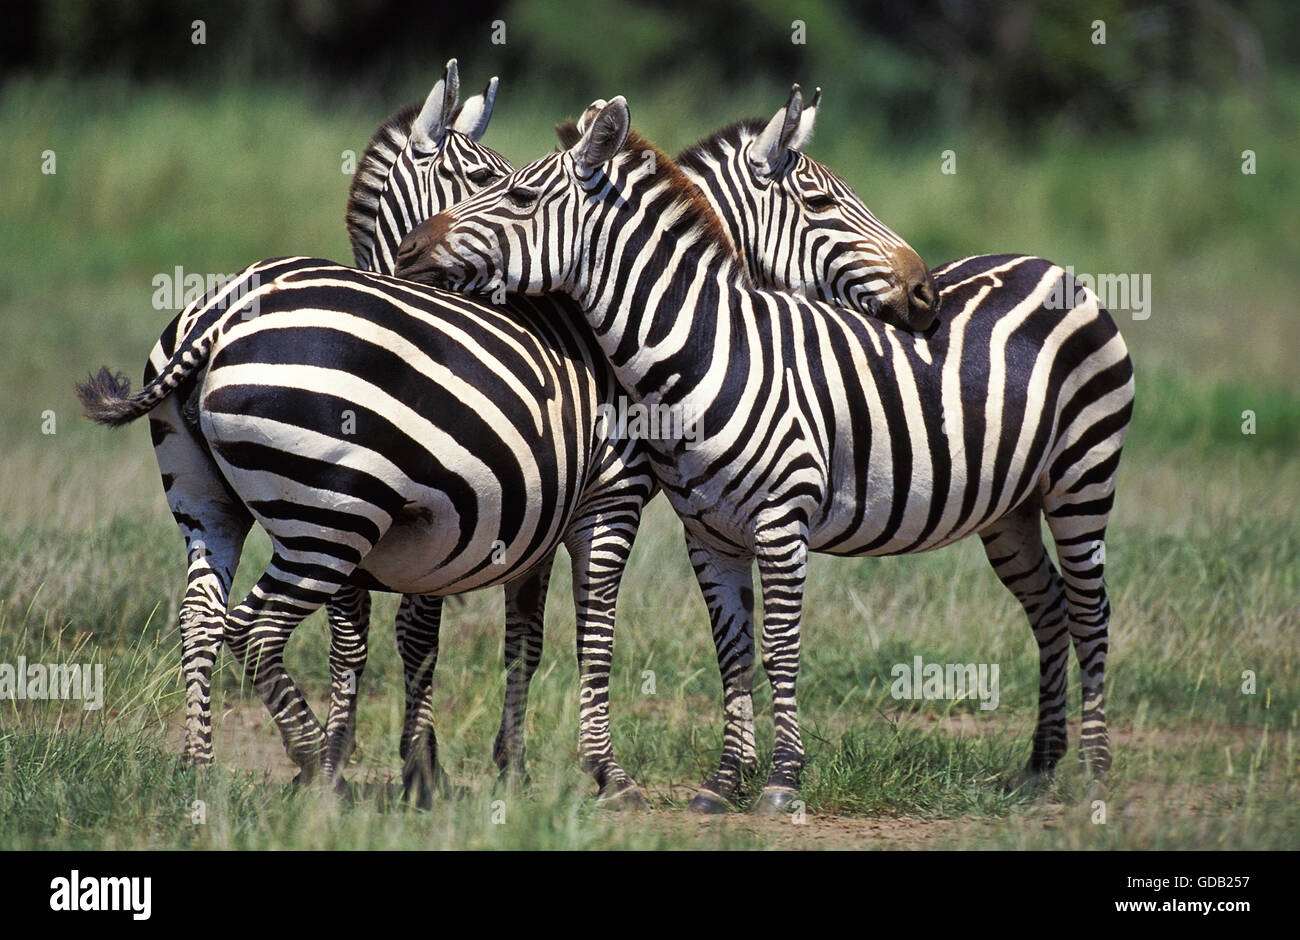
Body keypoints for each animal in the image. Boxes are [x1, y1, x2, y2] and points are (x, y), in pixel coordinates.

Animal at [81, 78, 935, 800]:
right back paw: (307, 756)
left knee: (202, 614)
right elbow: (591, 630)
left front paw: (501, 767)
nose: (924, 290)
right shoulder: (607, 498)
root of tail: (220, 308)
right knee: (253, 626)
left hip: (215, 503)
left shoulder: (527, 517)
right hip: (329, 515)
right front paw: (599, 773)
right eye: (822, 199)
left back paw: (202, 768)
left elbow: (516, 638)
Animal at [390, 97, 1133, 816]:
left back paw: (1096, 773)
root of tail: (1050, 266)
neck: (708, 350)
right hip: (1010, 510)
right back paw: (1039, 770)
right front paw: (725, 782)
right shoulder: (707, 532)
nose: (410, 247)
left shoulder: (777, 522)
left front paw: (781, 779)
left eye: (518, 195)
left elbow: (779, 650)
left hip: (1082, 479)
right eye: (823, 200)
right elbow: (734, 653)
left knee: (1090, 611)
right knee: (1049, 608)